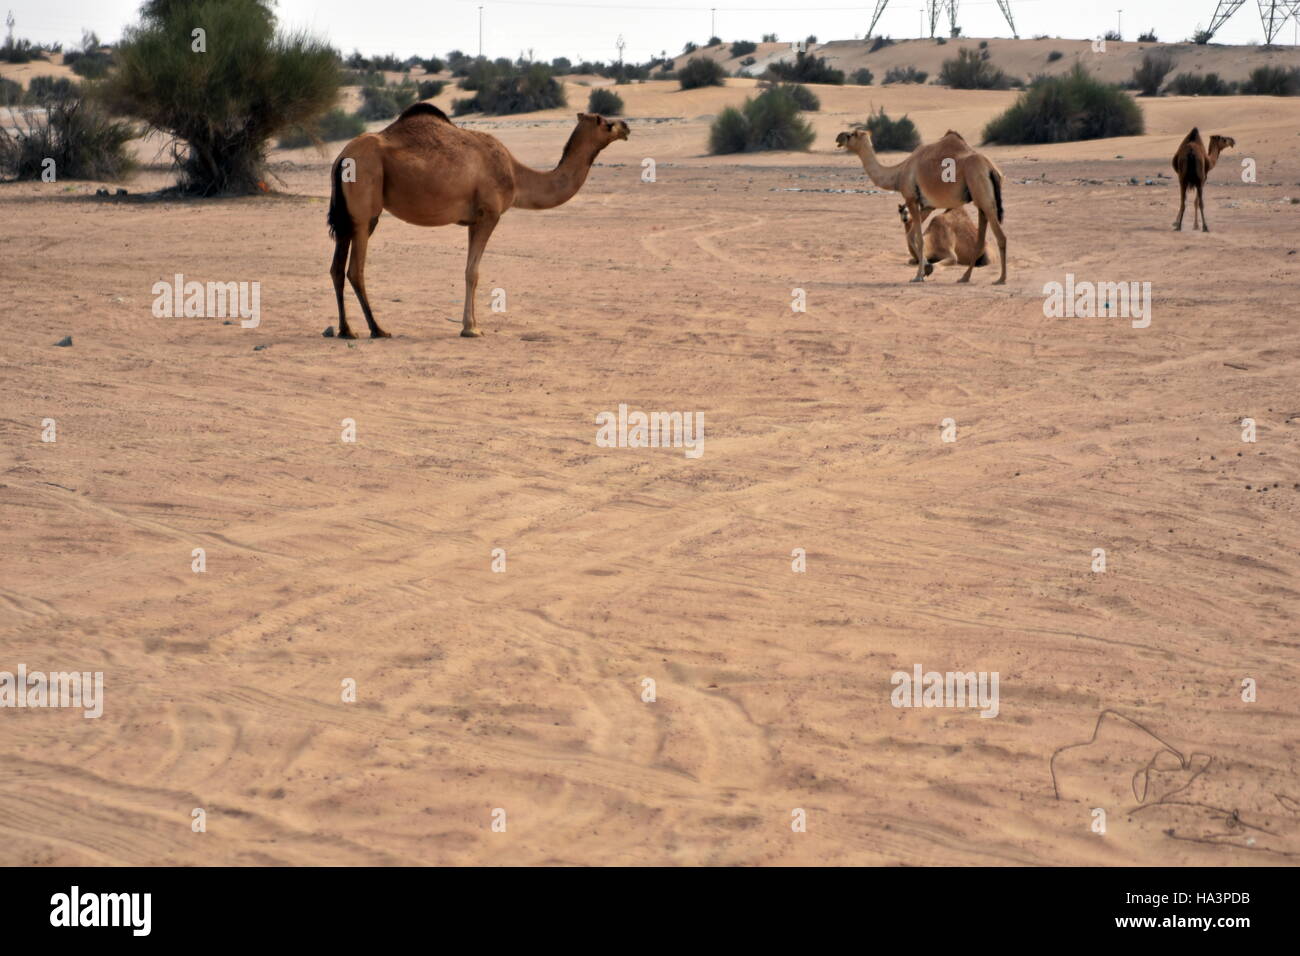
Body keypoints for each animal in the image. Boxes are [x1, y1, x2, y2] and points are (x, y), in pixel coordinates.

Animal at [327, 104, 629, 338]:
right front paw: (471, 328)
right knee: (355, 269)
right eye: (606, 122)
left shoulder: (473, 221)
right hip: (365, 210)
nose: (626, 126)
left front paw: (470, 324)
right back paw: (377, 329)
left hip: (348, 216)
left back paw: (346, 330)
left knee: (337, 268)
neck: (516, 175)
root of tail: (342, 156)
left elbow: (469, 271)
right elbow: (473, 272)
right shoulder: (489, 214)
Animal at [836, 128, 1006, 284]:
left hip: (982, 194)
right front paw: (927, 269)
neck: (899, 173)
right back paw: (965, 277)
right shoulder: (927, 206)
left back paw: (1001, 279)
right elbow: (912, 236)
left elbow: (919, 238)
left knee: (1000, 236)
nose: (838, 137)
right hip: (981, 200)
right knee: (981, 239)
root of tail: (992, 169)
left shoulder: (911, 198)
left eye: (852, 134)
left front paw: (919, 275)